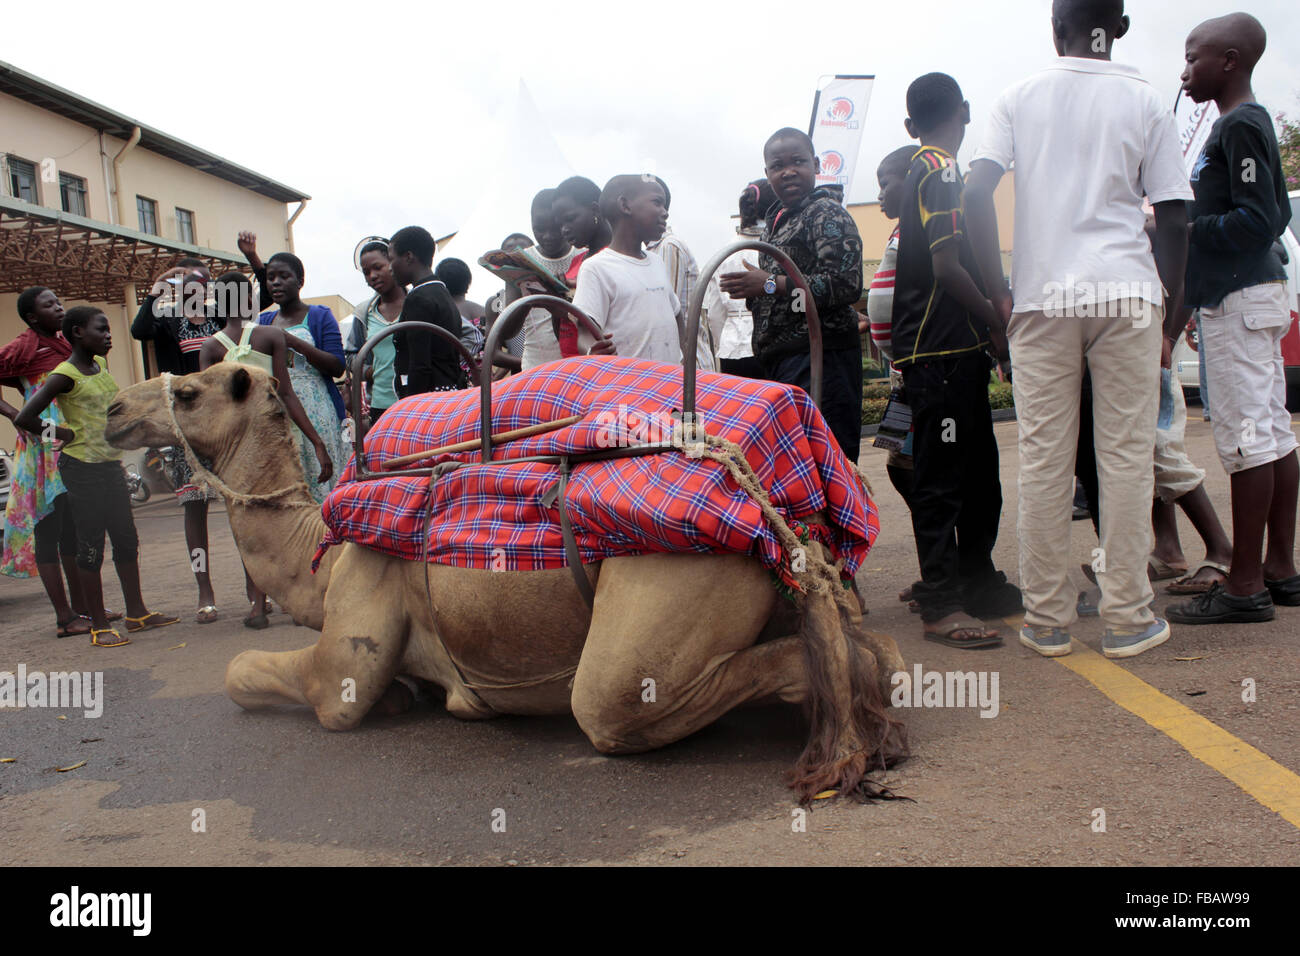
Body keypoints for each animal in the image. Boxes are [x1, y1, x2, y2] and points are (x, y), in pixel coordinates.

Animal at [106, 363, 908, 801]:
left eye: (187, 390)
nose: (110, 409)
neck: (321, 556)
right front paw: (415, 693)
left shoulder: (353, 627)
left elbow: (265, 677)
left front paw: (394, 697)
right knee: (881, 651)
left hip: (666, 590)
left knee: (618, 702)